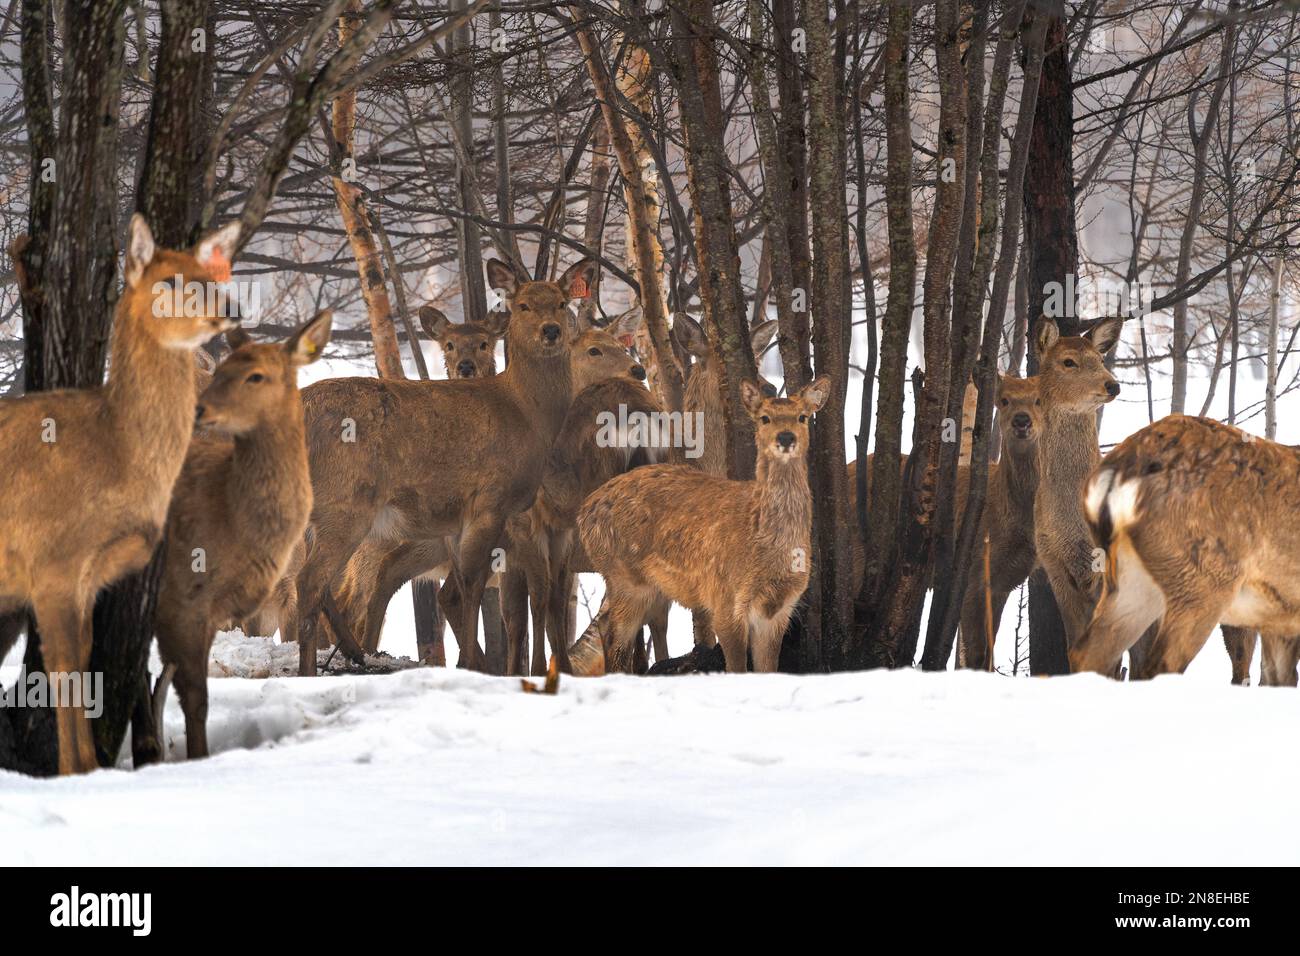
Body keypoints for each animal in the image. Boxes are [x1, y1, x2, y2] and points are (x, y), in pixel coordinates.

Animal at [0, 213, 239, 774]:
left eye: (210, 275)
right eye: (168, 280)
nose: (227, 310)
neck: (114, 452)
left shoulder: (89, 577)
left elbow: (85, 664)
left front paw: (86, 766)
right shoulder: (51, 563)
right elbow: (65, 668)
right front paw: (76, 770)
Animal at [292, 257, 596, 675]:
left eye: (562, 303)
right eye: (523, 306)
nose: (551, 330)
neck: (526, 412)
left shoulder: (458, 516)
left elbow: (463, 588)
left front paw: (472, 661)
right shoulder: (491, 499)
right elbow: (476, 583)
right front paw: (471, 662)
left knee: (320, 585)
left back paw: (352, 652)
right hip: (345, 502)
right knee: (309, 582)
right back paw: (314, 668)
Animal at [578, 377, 831, 673]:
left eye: (802, 416)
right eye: (765, 418)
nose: (786, 437)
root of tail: (584, 513)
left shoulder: (779, 611)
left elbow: (767, 668)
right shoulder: (725, 599)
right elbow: (737, 667)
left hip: (647, 584)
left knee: (629, 621)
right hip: (624, 575)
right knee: (615, 628)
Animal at [1074, 414, 1300, 680]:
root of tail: (1117, 471)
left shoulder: (1279, 621)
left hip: (1130, 580)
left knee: (1088, 653)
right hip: (1202, 578)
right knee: (1162, 664)